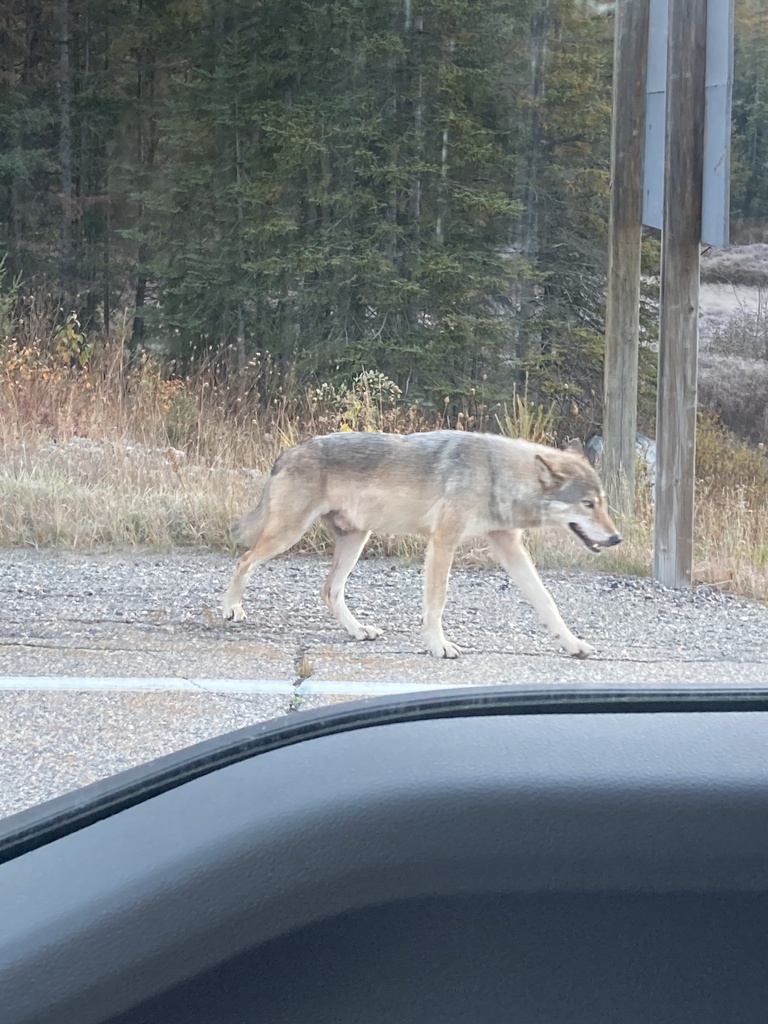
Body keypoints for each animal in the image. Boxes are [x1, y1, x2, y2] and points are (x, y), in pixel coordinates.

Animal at [222, 430, 621, 659]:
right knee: (244, 559)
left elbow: (546, 601)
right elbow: (437, 601)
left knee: (328, 590)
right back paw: (231, 609)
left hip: (356, 539)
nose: (616, 537)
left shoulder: (508, 544)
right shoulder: (444, 541)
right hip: (288, 534)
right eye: (588, 504)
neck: (497, 475)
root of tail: (287, 452)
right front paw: (438, 646)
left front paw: (573, 644)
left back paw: (358, 630)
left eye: (603, 502)